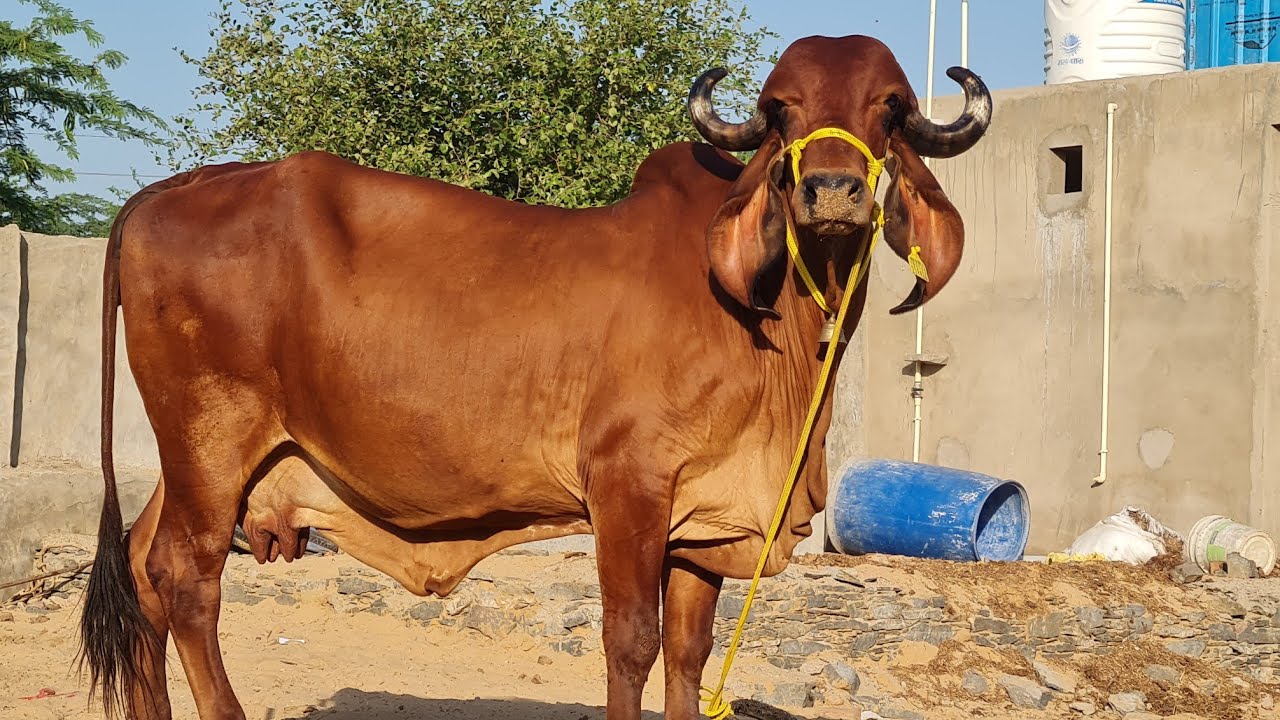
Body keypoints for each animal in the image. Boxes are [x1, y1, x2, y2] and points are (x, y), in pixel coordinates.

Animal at [77, 34, 990, 720]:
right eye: (781, 109)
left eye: (889, 107)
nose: (831, 190)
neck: (775, 329)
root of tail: (175, 187)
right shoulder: (627, 486)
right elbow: (632, 642)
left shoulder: (703, 520)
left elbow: (689, 656)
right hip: (210, 440)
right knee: (186, 579)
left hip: (209, 459)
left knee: (141, 564)